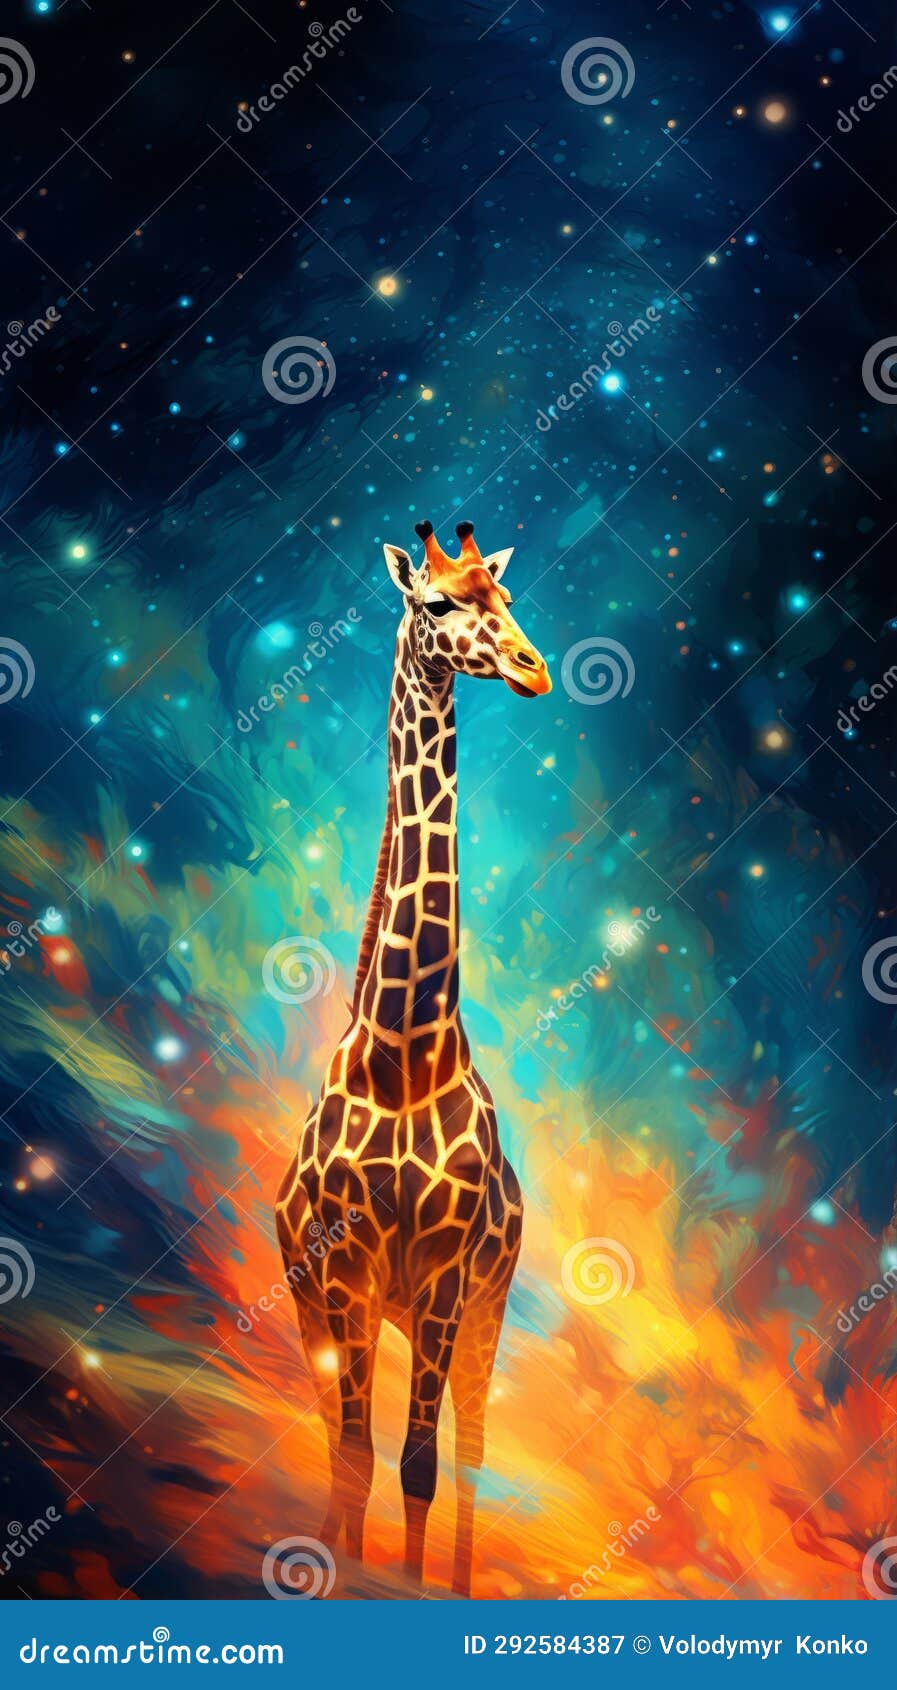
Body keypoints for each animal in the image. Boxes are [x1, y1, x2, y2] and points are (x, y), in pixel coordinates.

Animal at [275, 518, 551, 1595]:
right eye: (437, 602)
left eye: (506, 596)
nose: (534, 666)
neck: (405, 1048)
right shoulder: (345, 1270)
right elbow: (354, 1456)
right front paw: (343, 1570)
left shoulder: (441, 1273)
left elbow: (422, 1466)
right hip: (317, 1300)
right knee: (332, 1433)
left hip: (486, 1303)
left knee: (470, 1452)